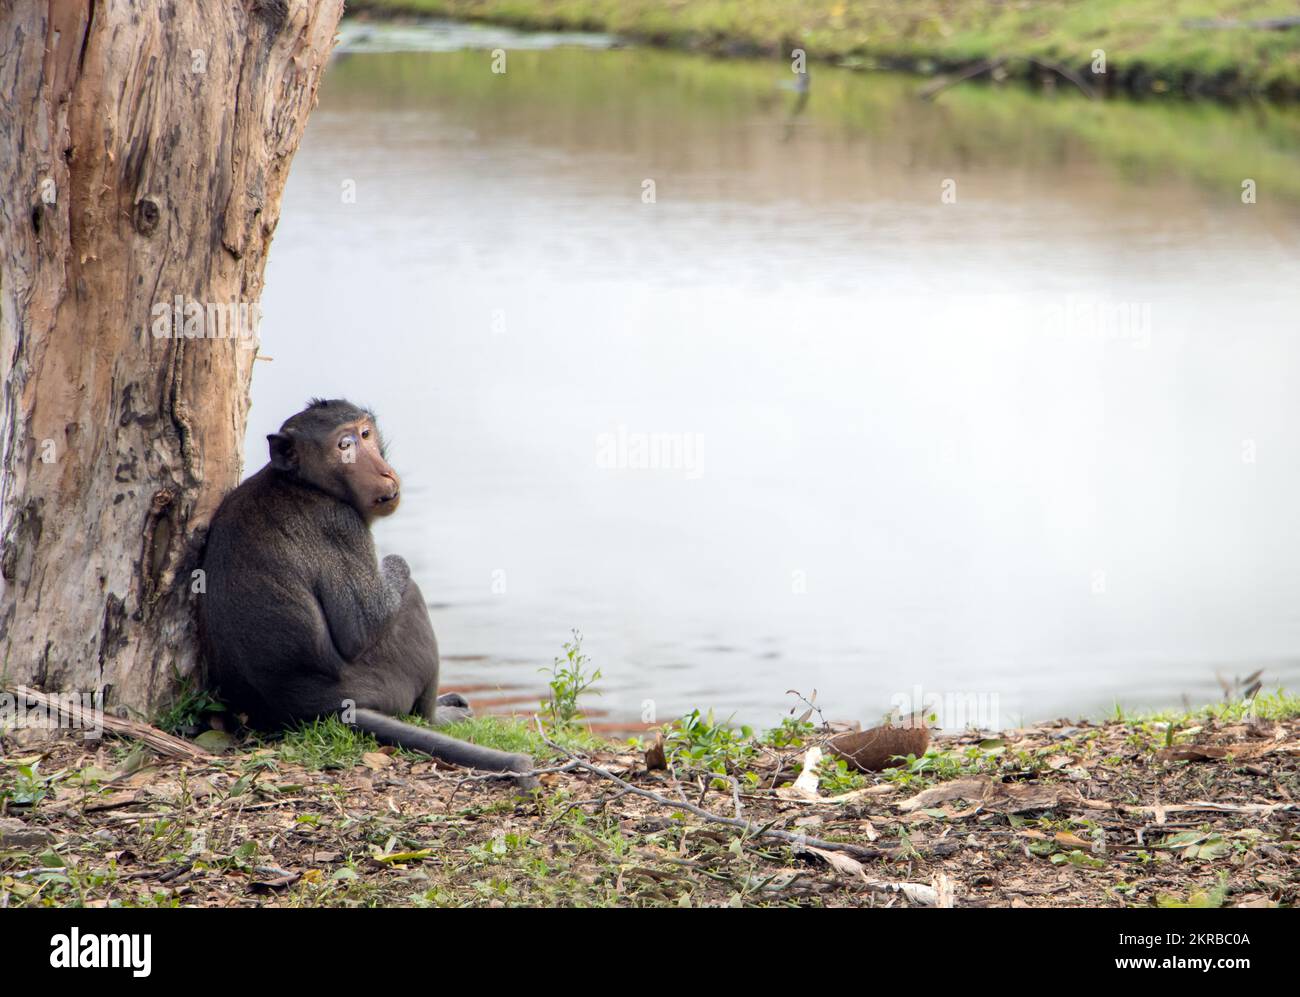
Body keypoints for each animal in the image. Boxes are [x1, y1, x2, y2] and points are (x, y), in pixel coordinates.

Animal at [198, 398, 534, 786]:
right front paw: (396, 564)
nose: (384, 473)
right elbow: (361, 629)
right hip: (386, 680)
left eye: (365, 434)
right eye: (344, 446)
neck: (304, 482)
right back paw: (435, 716)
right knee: (410, 601)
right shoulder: (341, 523)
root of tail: (307, 704)